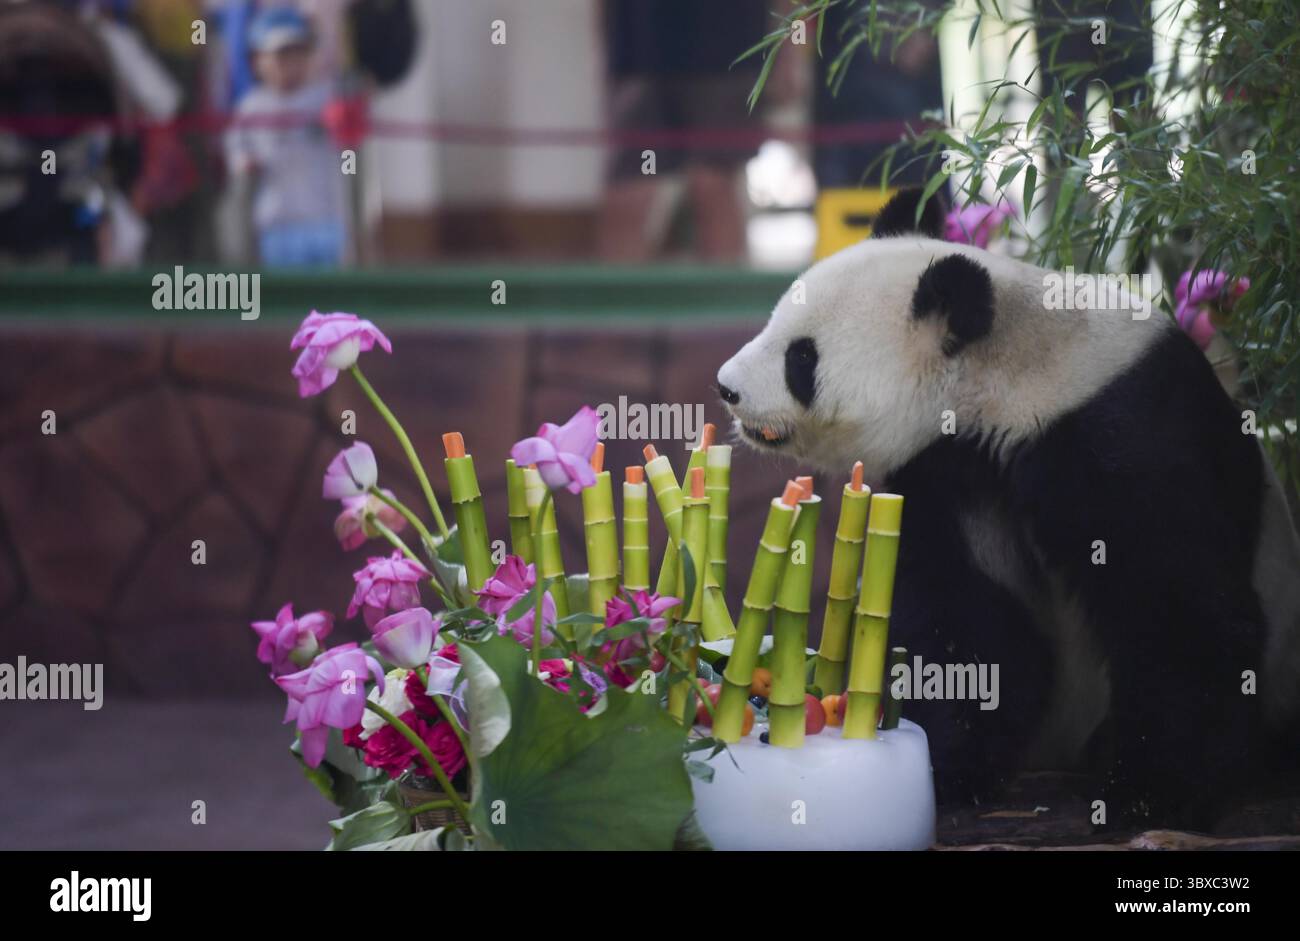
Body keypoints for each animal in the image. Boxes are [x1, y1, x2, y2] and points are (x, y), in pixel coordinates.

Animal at [716, 188, 1300, 827]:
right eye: (776, 321)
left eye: (802, 357)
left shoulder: (1122, 429)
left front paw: (1150, 793)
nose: (726, 387)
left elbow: (1176, 604)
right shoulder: (950, 470)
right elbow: (969, 620)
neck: (1006, 371)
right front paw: (953, 763)